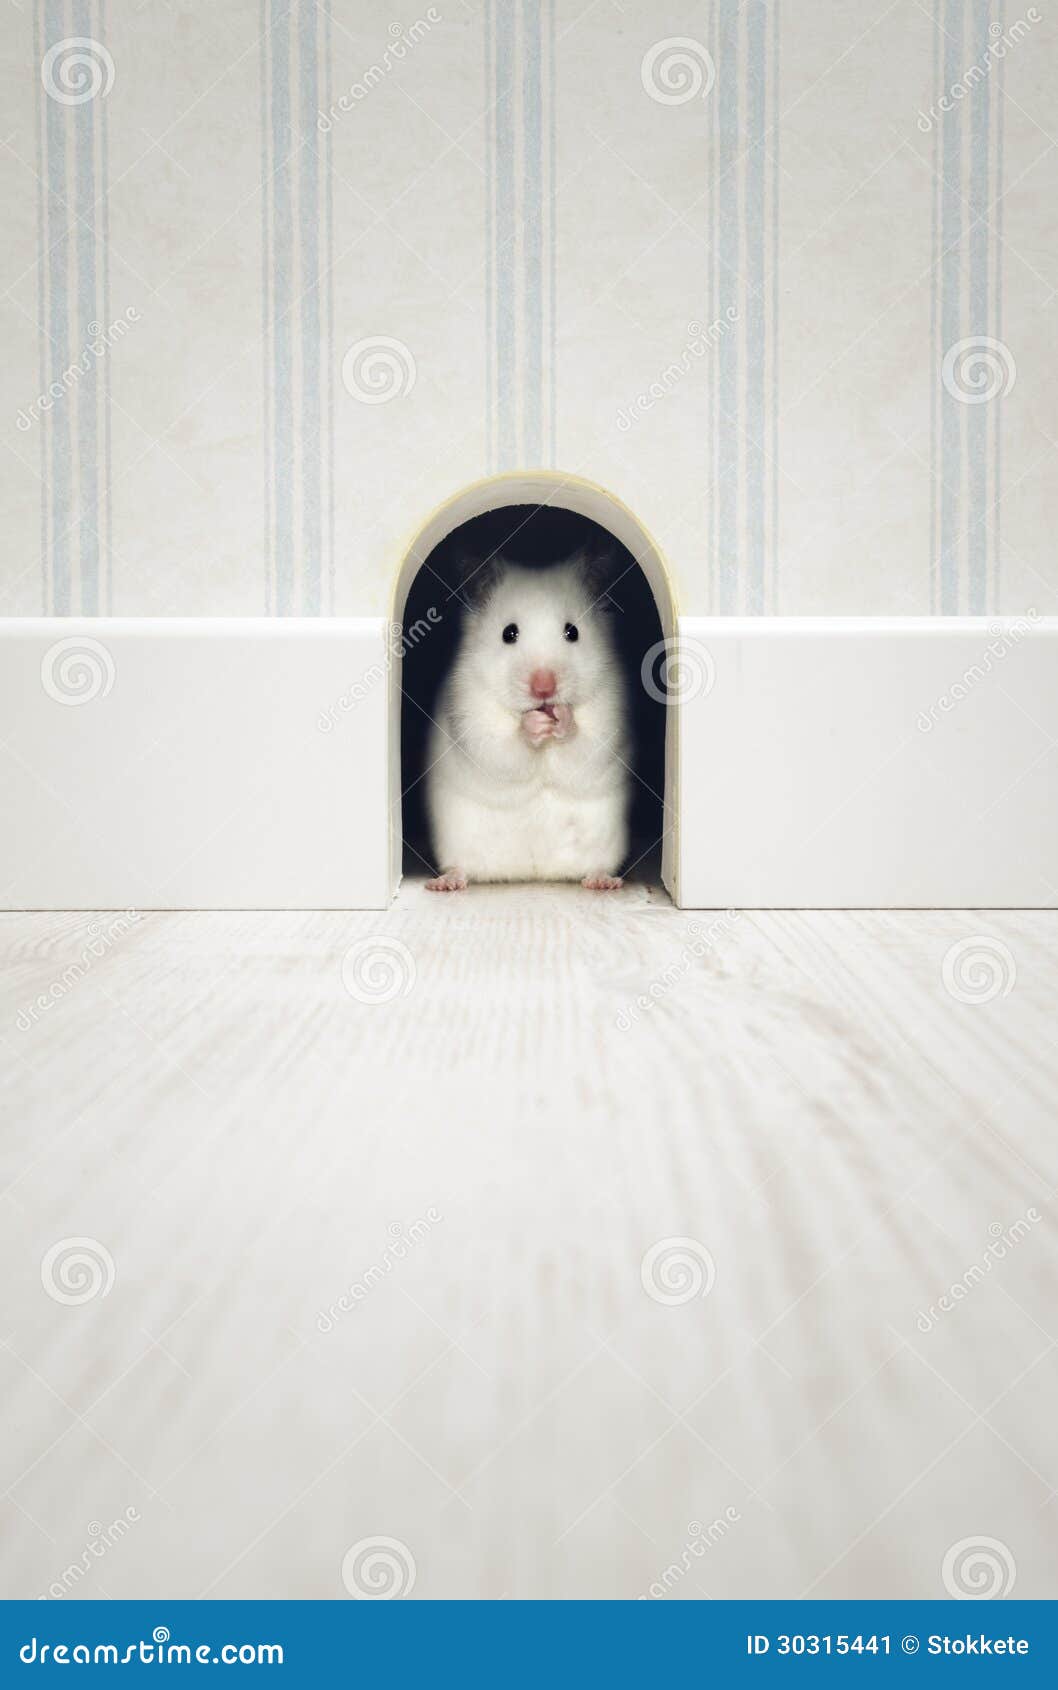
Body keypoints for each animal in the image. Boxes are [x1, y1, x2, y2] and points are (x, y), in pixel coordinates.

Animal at [424, 546, 631, 891]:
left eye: (572, 631)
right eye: (509, 633)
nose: (544, 688)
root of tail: (532, 873)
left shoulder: (610, 716)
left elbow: (584, 743)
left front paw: (562, 717)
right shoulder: (469, 717)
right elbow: (505, 748)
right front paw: (534, 725)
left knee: (596, 867)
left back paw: (603, 883)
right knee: (462, 867)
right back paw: (444, 883)